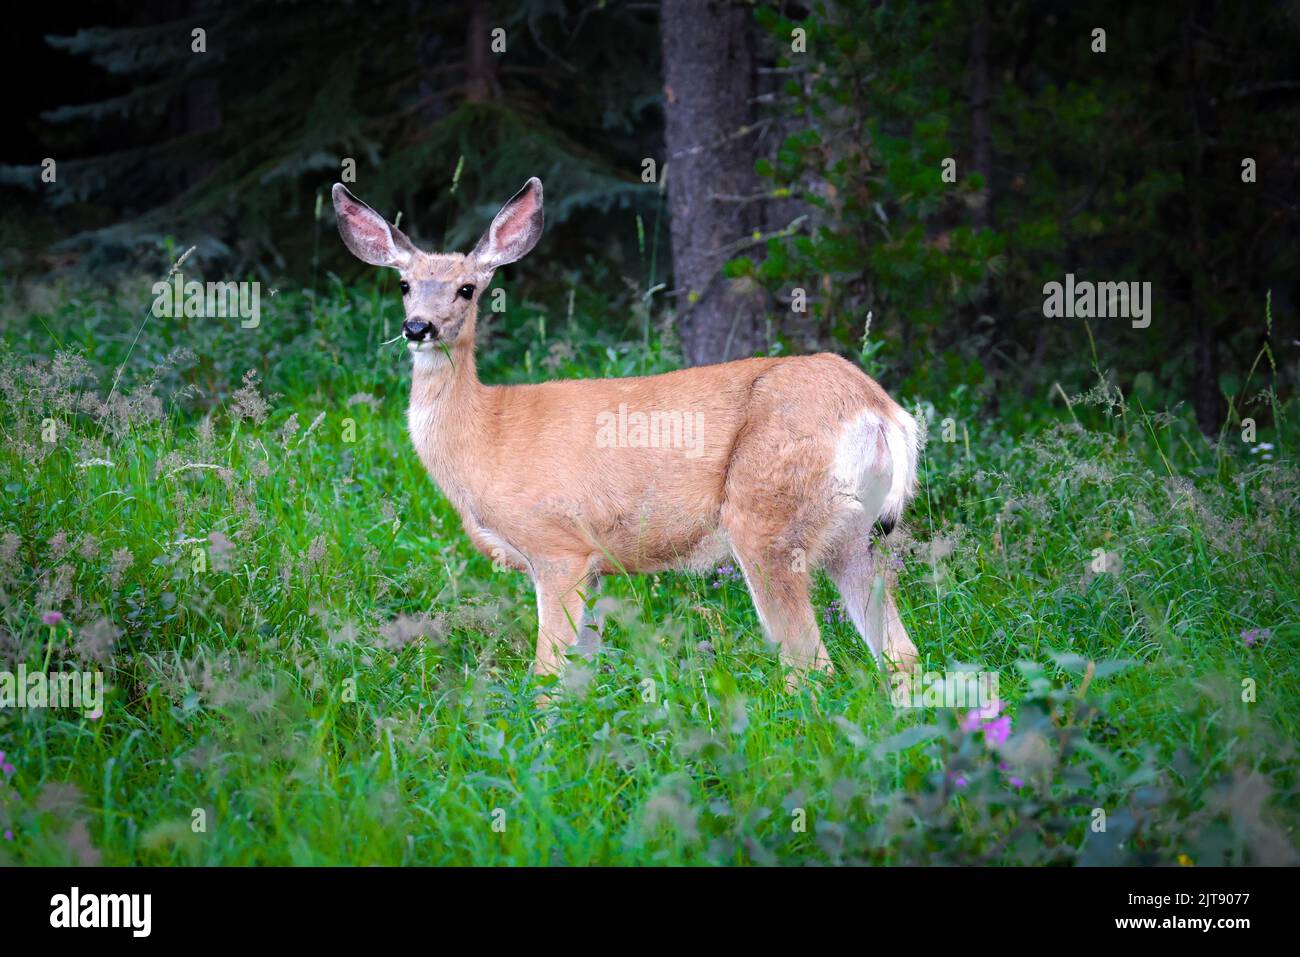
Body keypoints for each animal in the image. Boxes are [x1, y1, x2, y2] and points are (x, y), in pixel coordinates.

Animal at [332, 177, 923, 694]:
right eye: (404, 285)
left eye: (466, 288)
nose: (418, 328)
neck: (484, 434)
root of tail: (878, 410)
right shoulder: (596, 565)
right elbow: (583, 672)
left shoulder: (558, 545)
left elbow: (548, 675)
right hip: (854, 533)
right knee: (901, 652)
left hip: (766, 519)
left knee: (811, 663)